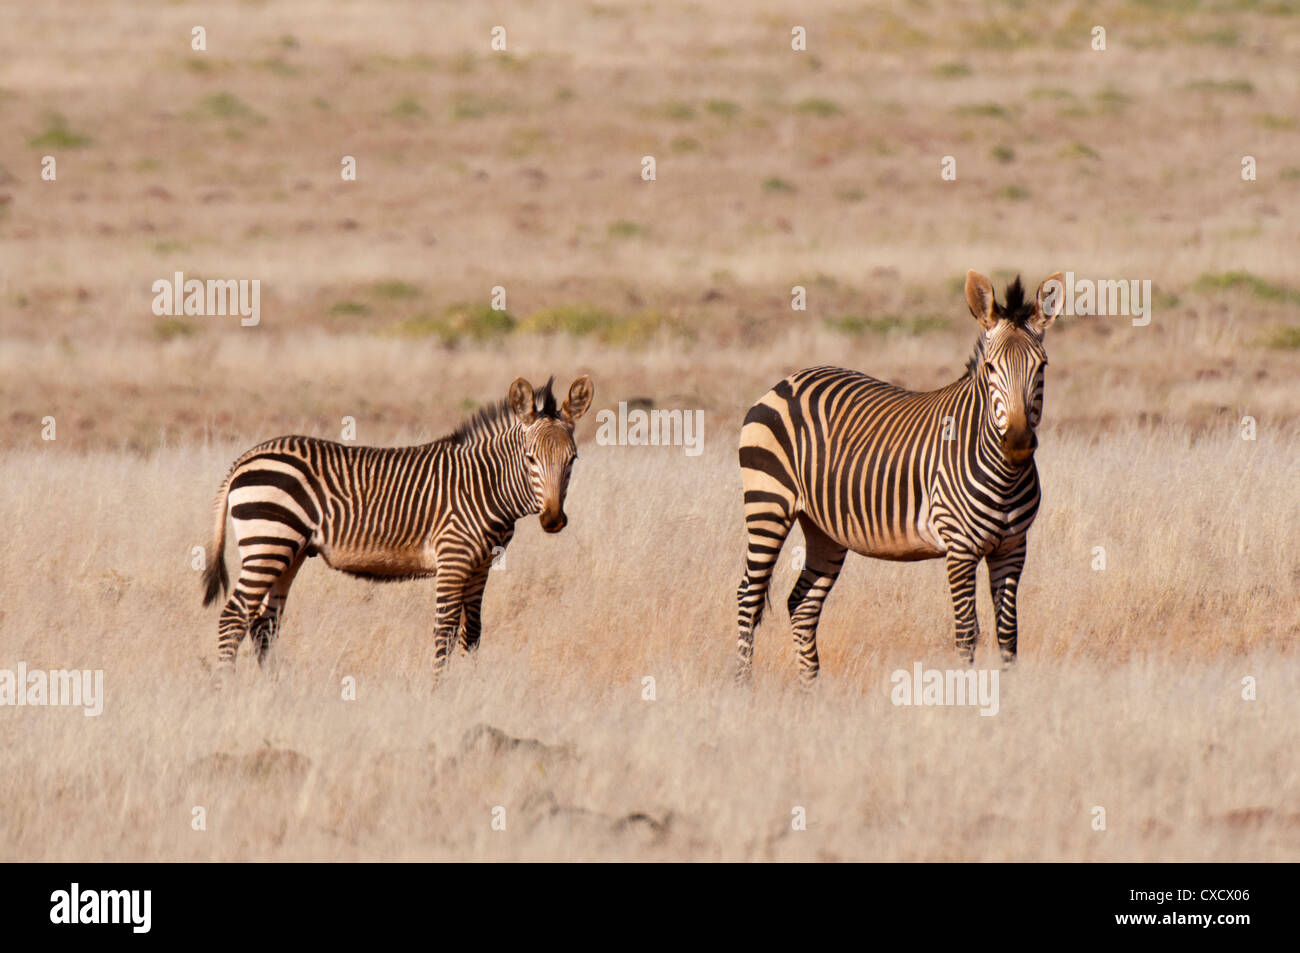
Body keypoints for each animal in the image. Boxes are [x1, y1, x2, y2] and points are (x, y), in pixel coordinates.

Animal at [201, 375, 593, 682]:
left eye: (572, 459)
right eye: (530, 459)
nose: (553, 520)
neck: (484, 484)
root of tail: (247, 456)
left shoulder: (481, 566)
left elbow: (473, 633)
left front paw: (469, 689)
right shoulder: (453, 559)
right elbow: (445, 629)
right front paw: (439, 692)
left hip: (289, 551)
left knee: (264, 624)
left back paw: (273, 690)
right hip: (268, 541)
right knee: (233, 617)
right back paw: (227, 691)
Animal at [735, 271, 1063, 684]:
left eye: (1042, 367)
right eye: (990, 368)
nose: (1018, 442)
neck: (1005, 474)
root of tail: (787, 381)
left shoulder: (1013, 547)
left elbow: (1008, 632)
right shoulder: (959, 547)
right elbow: (967, 631)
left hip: (823, 528)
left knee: (802, 604)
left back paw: (811, 688)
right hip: (768, 505)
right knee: (748, 595)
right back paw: (742, 685)